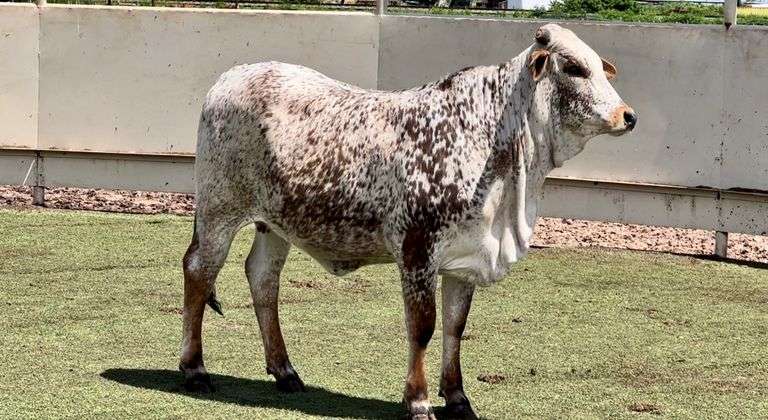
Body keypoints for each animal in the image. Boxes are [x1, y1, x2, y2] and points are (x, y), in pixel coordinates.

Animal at [179, 23, 636, 419]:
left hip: (275, 223)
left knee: (262, 277)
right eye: (574, 67)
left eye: (600, 66)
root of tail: (232, 76)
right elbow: (423, 328)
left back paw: (285, 371)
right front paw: (417, 402)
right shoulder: (418, 252)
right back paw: (195, 369)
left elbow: (455, 328)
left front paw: (458, 399)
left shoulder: (465, 259)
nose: (627, 115)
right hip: (219, 209)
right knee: (199, 270)